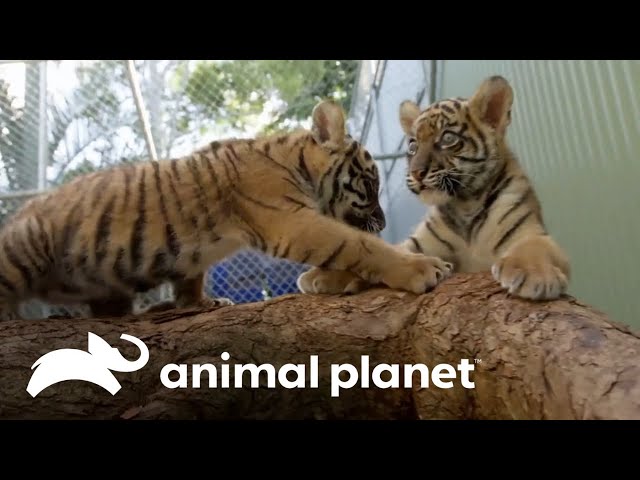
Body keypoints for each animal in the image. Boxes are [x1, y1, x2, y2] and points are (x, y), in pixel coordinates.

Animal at [0, 99, 453, 321]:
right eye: (371, 184)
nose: (383, 219)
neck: (296, 162)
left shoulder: (192, 254)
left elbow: (190, 278)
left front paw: (198, 304)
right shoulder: (293, 221)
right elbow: (358, 245)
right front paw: (421, 268)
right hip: (27, 245)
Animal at [297, 76, 571, 302]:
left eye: (447, 138)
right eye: (412, 146)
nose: (417, 173)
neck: (466, 204)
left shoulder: (531, 233)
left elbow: (533, 248)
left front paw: (533, 275)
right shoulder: (419, 246)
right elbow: (384, 253)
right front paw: (322, 276)